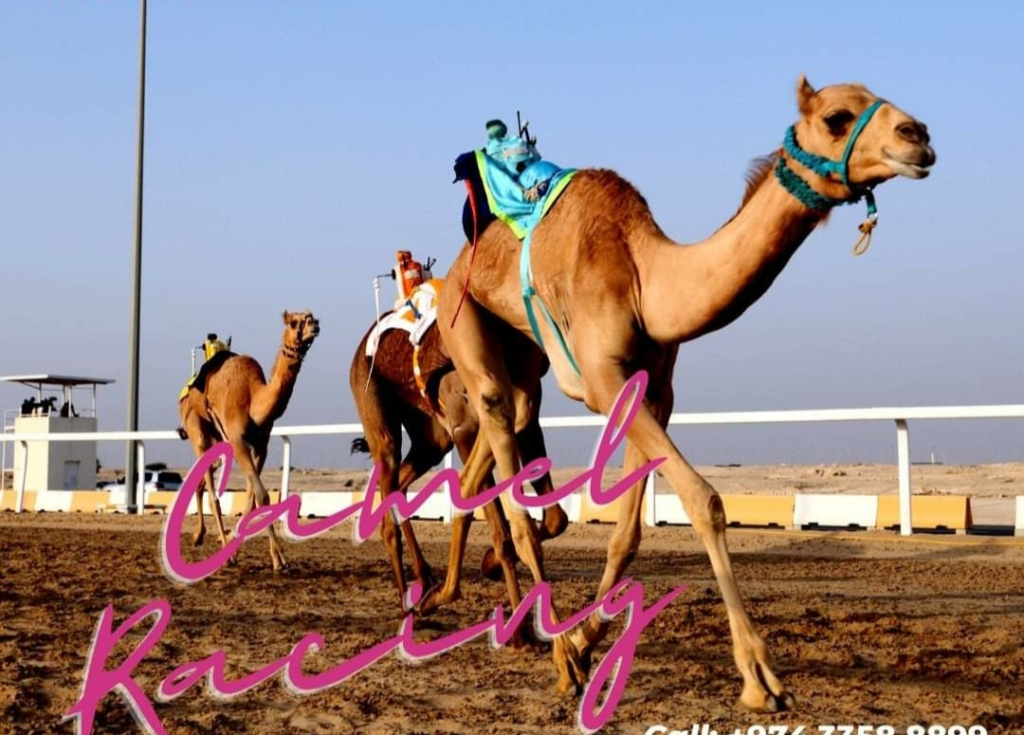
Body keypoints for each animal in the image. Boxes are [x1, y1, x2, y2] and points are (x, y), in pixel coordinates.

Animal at [179, 310, 321, 571]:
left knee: (203, 480)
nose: (315, 325)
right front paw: (277, 559)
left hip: (217, 438)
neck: (254, 399)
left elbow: (252, 497)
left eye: (312, 316)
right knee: (212, 492)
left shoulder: (260, 444)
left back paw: (199, 536)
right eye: (294, 322)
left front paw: (274, 554)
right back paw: (222, 550)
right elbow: (262, 496)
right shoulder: (238, 442)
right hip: (196, 427)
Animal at [349, 311, 568, 612]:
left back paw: (426, 579)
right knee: (390, 471)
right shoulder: (465, 430)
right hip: (377, 414)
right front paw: (519, 620)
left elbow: (555, 519)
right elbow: (499, 530)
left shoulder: (525, 422)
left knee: (400, 486)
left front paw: (490, 565)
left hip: (431, 441)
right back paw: (408, 605)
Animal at [435, 76, 935, 709]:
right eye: (837, 117)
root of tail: (453, 266)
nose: (918, 136)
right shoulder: (605, 380)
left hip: (524, 354)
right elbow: (705, 500)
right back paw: (546, 646)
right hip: (462, 317)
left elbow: (626, 534)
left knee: (506, 420)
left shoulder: (654, 389)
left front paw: (587, 642)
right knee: (507, 456)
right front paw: (759, 676)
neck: (645, 277)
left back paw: (500, 619)